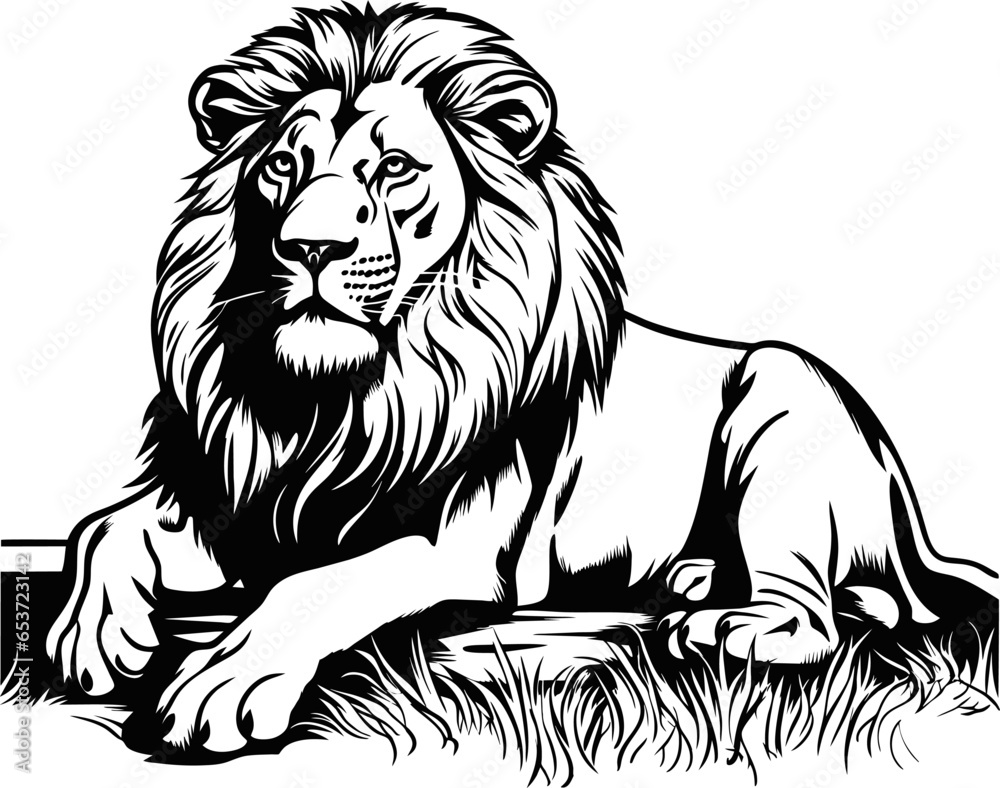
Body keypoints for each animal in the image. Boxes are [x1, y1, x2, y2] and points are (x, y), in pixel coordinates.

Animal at [45, 2, 998, 755]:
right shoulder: (233, 504)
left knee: (819, 621)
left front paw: (221, 686)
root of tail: (905, 508)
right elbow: (105, 528)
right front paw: (96, 637)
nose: (311, 246)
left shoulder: (465, 549)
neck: (331, 399)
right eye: (283, 166)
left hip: (783, 382)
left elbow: (314, 583)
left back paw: (718, 624)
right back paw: (694, 577)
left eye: (396, 169)